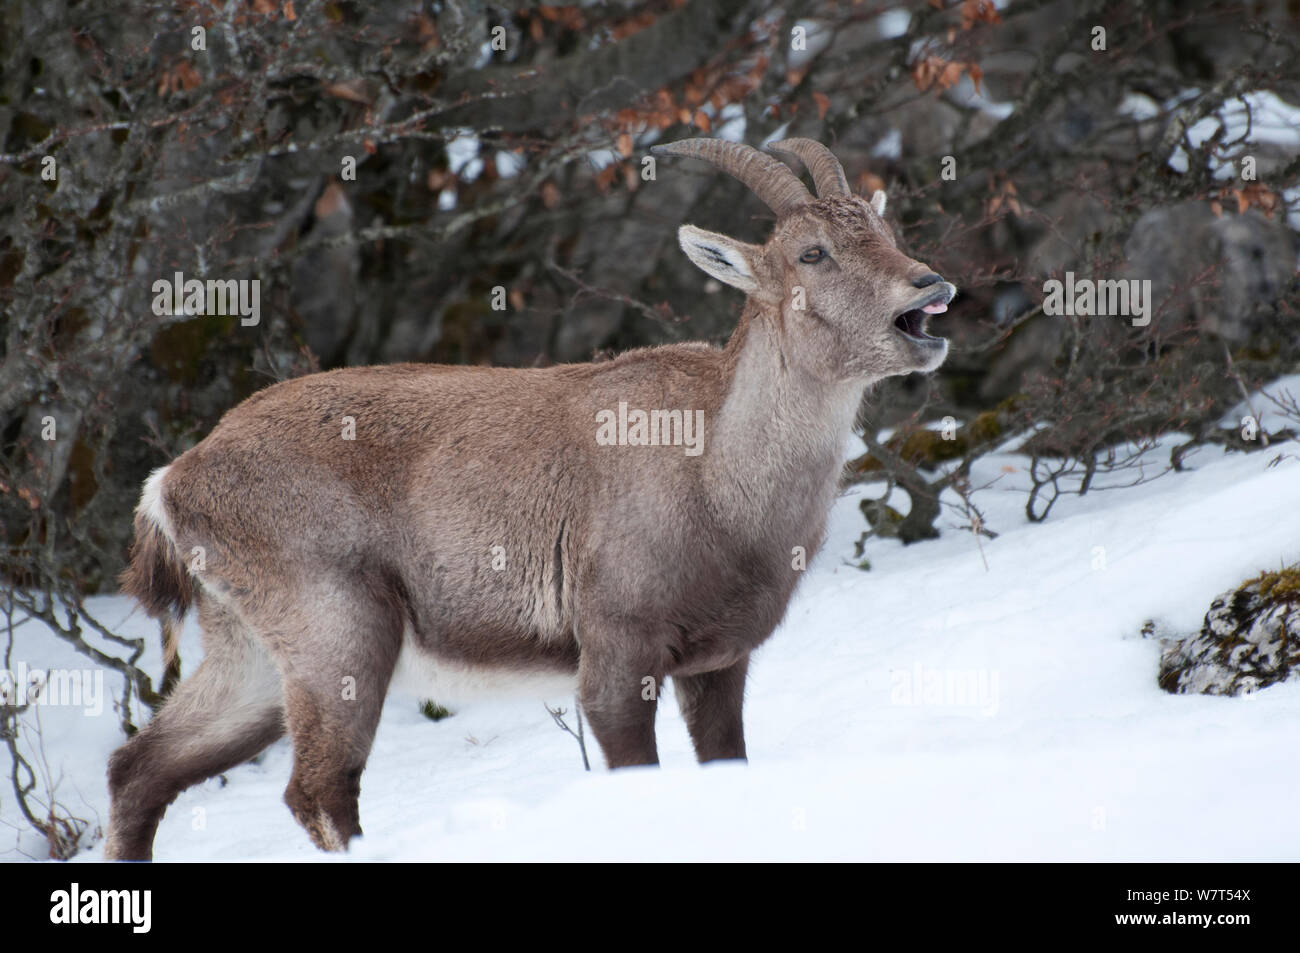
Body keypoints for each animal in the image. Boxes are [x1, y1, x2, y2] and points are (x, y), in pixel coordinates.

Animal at [105, 137, 956, 859]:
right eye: (812, 251)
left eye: (883, 228)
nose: (931, 284)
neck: (718, 476)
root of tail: (174, 479)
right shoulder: (616, 651)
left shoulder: (719, 663)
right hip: (338, 631)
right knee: (317, 790)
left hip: (249, 650)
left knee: (140, 766)